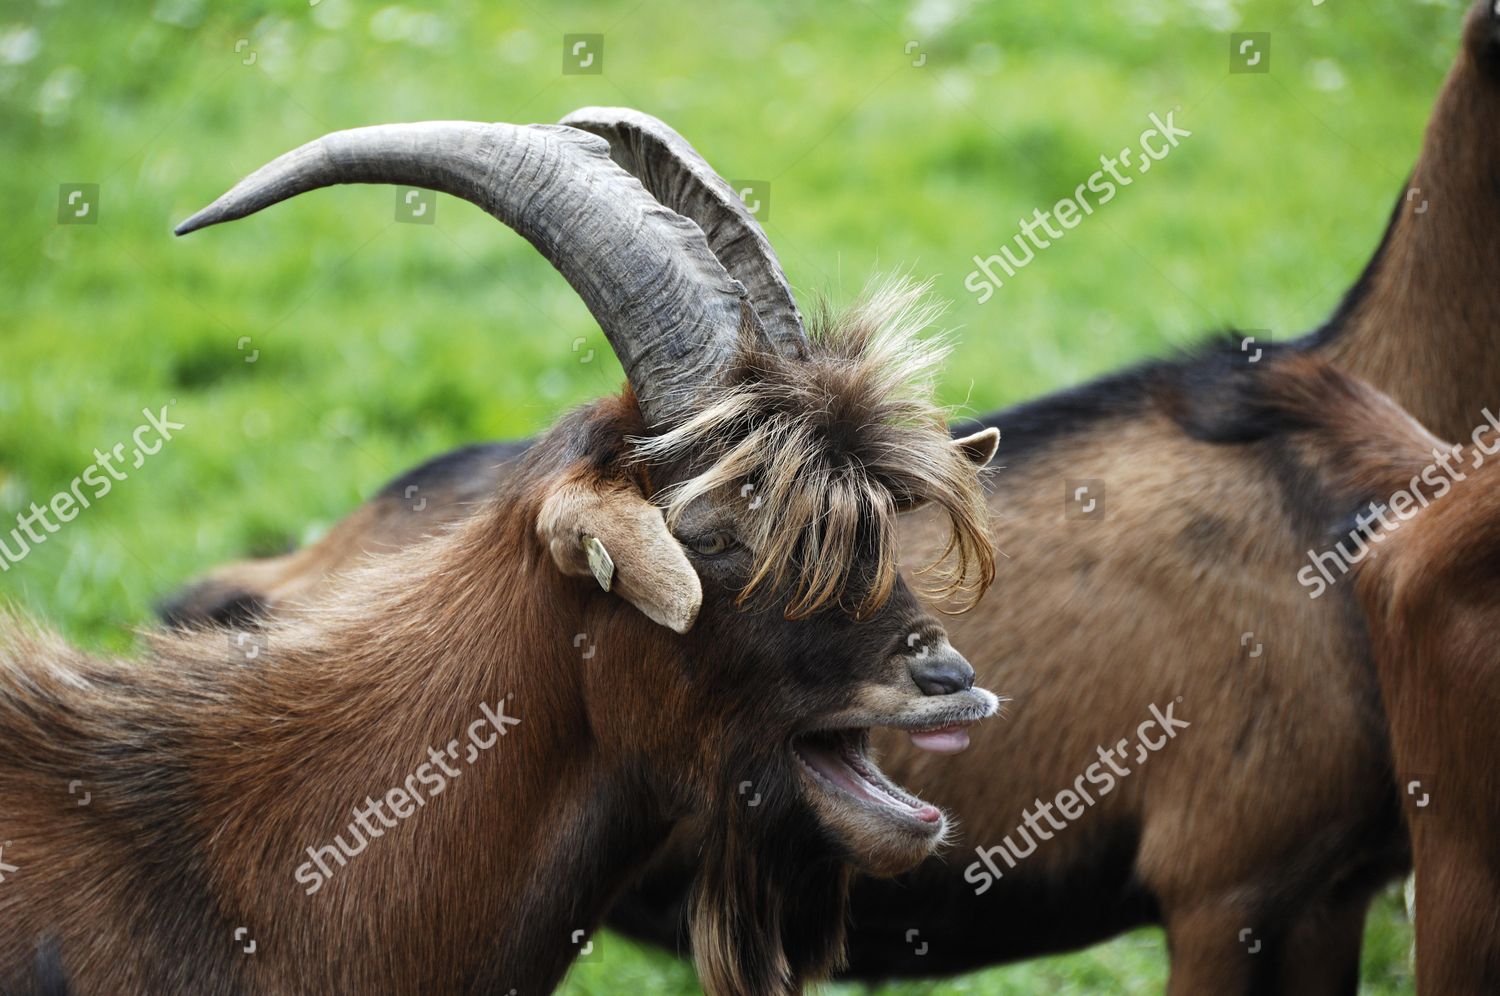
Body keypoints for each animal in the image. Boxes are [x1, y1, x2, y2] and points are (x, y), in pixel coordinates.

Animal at [155, 3, 1500, 991]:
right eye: (718, 534)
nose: (947, 675)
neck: (1328, 496)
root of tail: (274, 578)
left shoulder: (1332, 888)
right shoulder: (1239, 888)